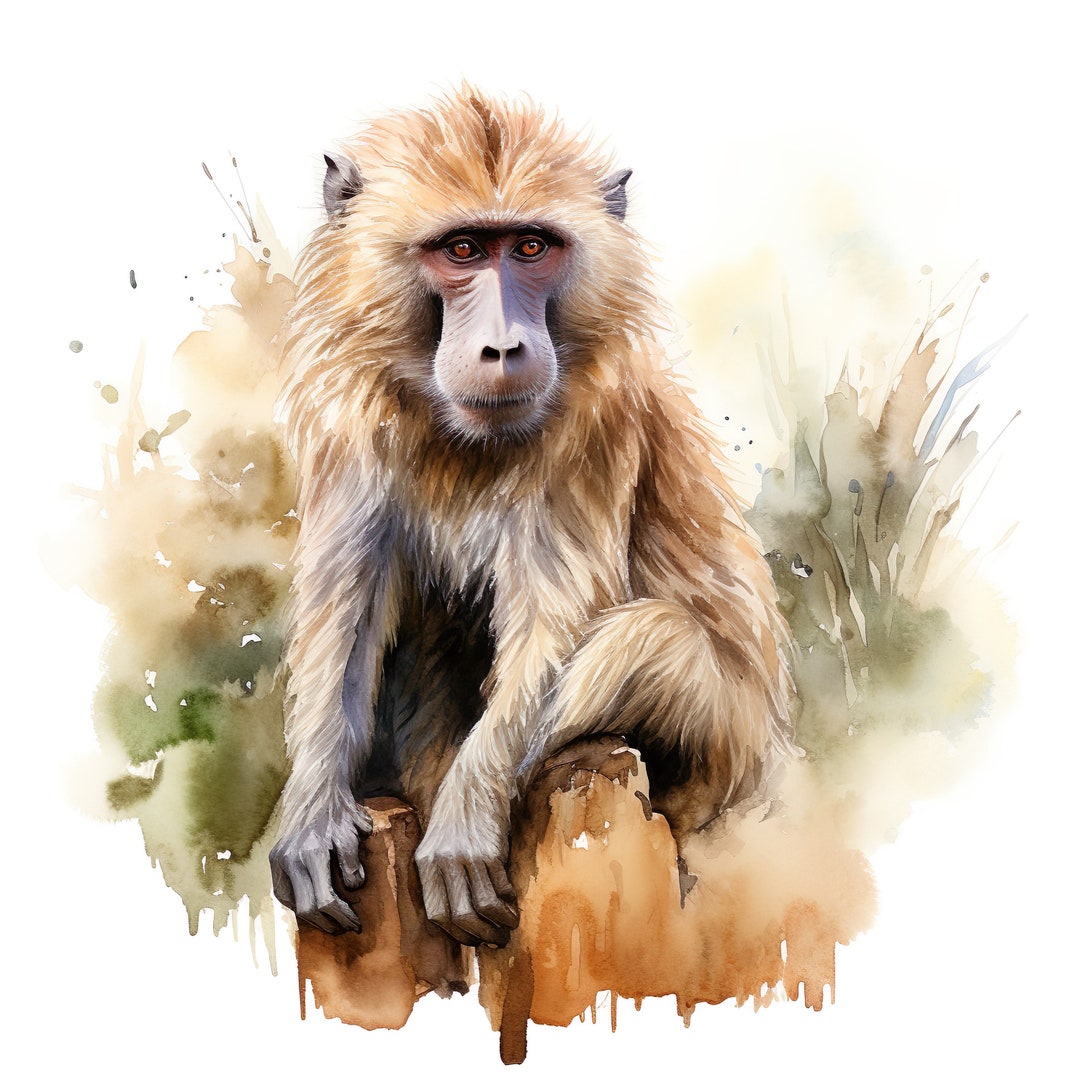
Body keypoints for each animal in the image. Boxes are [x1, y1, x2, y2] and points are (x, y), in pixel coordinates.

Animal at [269, 89, 795, 948]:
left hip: (733, 755)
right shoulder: (352, 416)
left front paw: (463, 821)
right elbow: (348, 605)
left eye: (529, 246)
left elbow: (558, 615)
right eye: (461, 249)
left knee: (653, 638)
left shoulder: (593, 423)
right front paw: (313, 809)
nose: (504, 347)